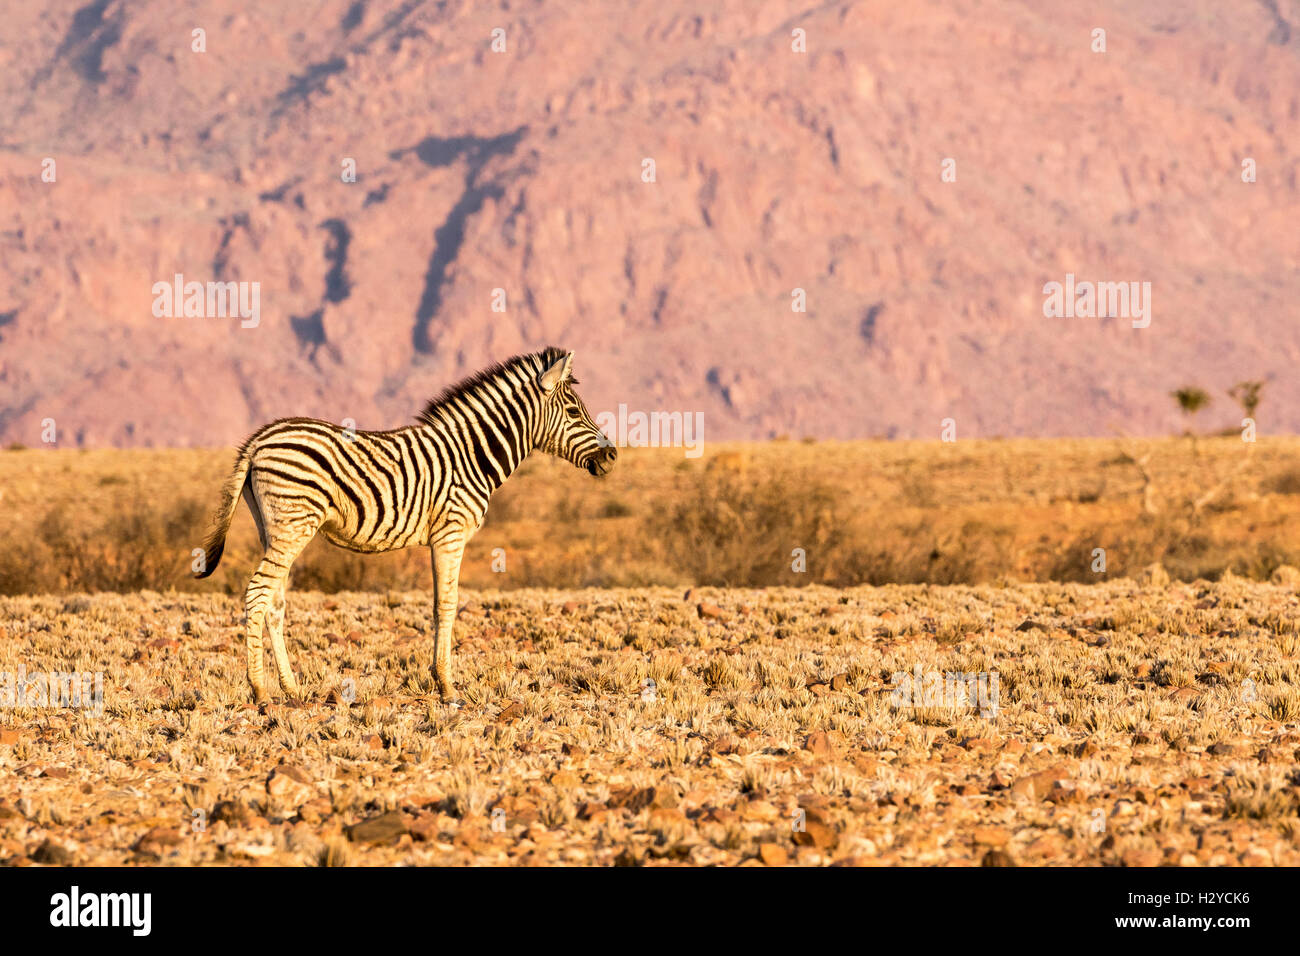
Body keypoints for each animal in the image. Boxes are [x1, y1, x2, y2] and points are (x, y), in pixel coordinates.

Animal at [193, 347, 616, 704]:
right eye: (574, 412)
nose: (612, 456)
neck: (473, 455)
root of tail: (259, 440)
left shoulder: (438, 538)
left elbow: (437, 603)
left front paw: (439, 678)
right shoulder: (451, 533)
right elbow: (447, 604)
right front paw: (447, 685)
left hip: (275, 528)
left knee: (274, 602)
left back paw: (292, 688)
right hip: (293, 523)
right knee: (258, 593)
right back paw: (260, 690)